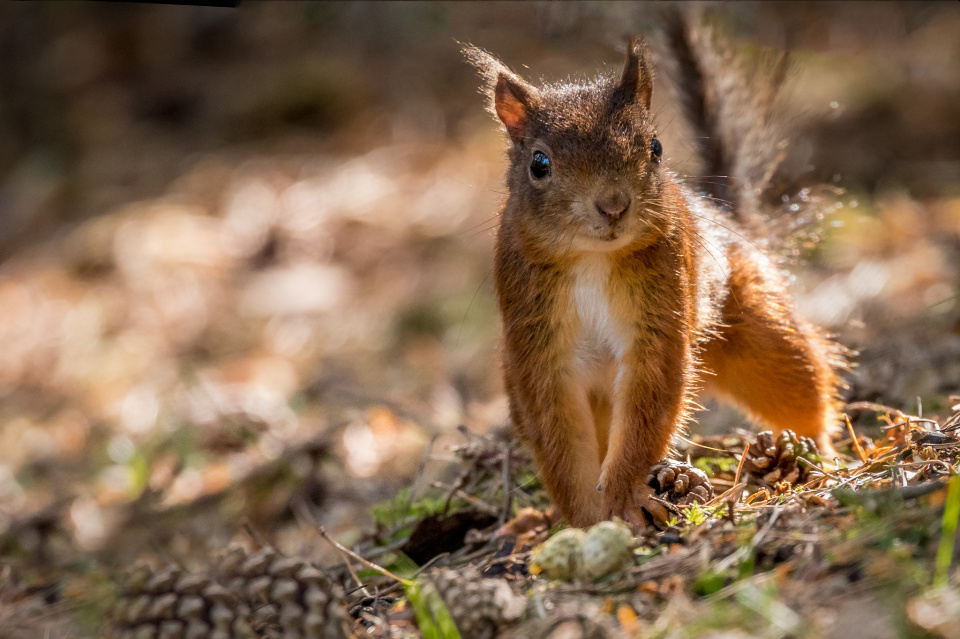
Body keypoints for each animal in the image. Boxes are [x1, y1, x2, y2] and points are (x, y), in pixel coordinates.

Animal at [464, 14, 843, 529]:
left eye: (656, 147)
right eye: (539, 164)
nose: (612, 205)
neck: (592, 259)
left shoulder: (659, 321)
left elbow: (648, 404)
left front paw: (624, 495)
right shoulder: (537, 345)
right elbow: (560, 438)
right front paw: (587, 517)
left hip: (762, 334)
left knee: (801, 387)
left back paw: (817, 457)